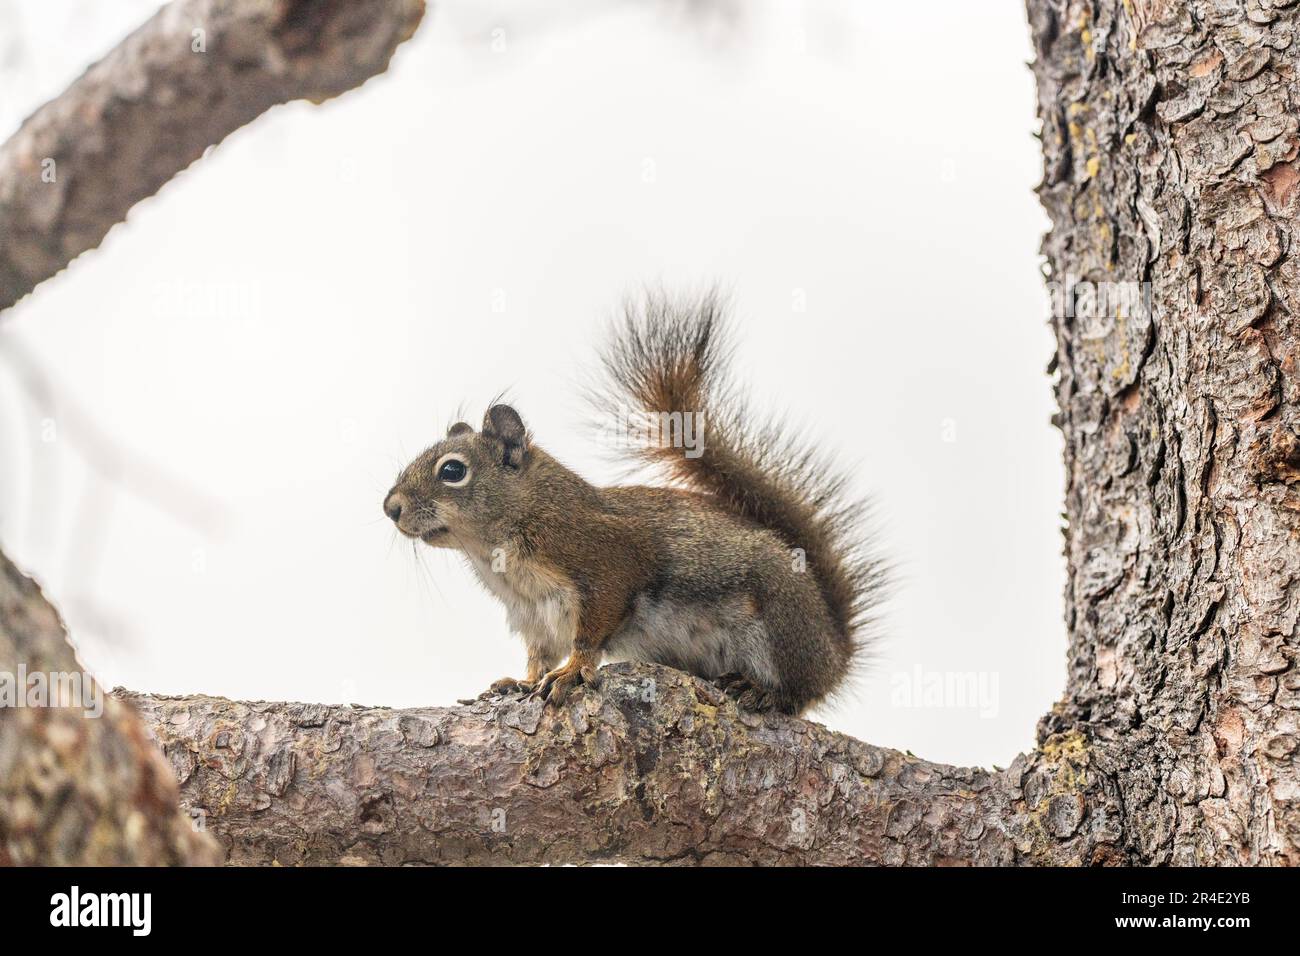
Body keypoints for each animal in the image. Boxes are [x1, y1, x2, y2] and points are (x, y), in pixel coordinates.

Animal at [383, 290, 885, 715]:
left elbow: (589, 634)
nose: (391, 508)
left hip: (778, 621)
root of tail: (834, 648)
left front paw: (571, 673)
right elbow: (538, 655)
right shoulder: (534, 615)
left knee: (798, 693)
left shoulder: (604, 559)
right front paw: (523, 682)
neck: (500, 542)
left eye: (452, 471)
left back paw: (761, 689)